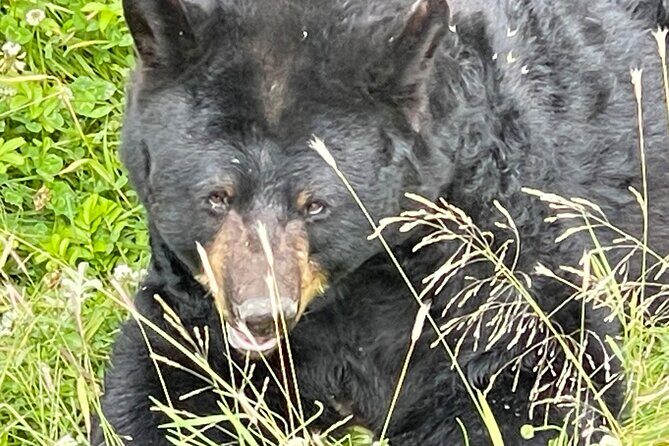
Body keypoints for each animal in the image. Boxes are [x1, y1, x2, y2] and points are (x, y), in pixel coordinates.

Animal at [92, 0, 669, 445]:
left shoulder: (482, 254)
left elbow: (541, 373)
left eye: (316, 204)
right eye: (217, 197)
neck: (349, 289)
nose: (260, 315)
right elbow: (161, 382)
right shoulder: (196, 298)